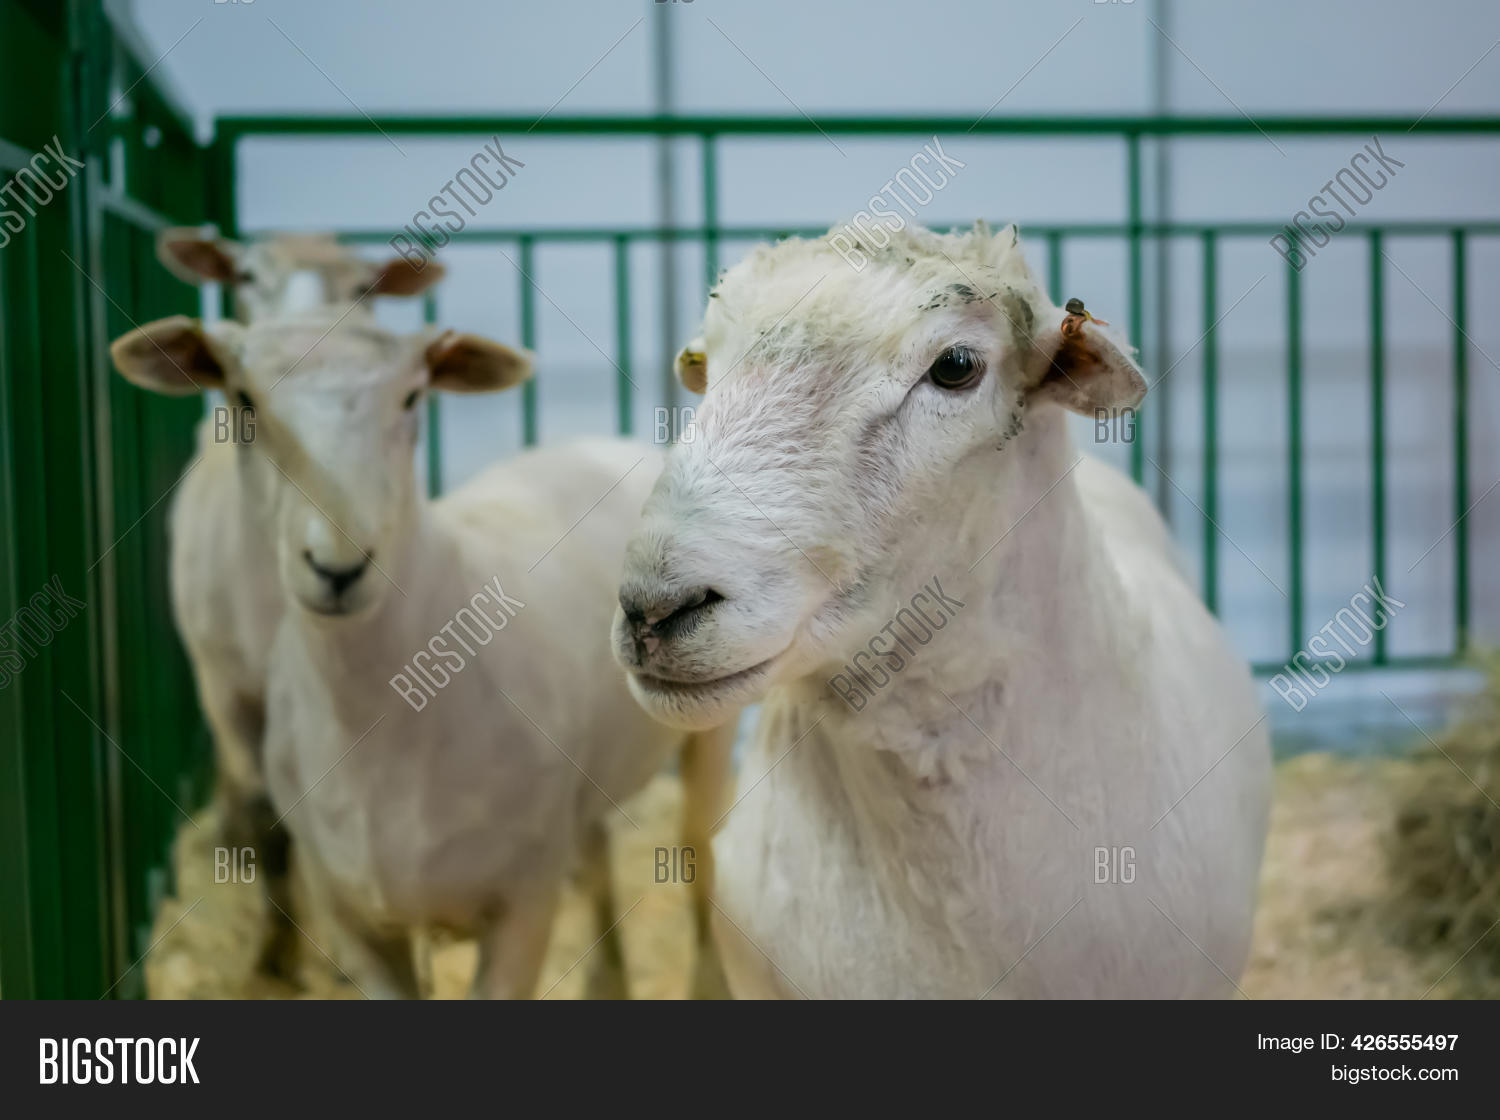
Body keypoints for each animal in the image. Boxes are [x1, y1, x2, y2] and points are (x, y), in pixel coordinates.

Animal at [110, 312, 734, 998]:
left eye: (411, 397)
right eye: (242, 399)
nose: (338, 566)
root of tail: (610, 439)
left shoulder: (524, 902)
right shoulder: (352, 917)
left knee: (701, 858)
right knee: (596, 851)